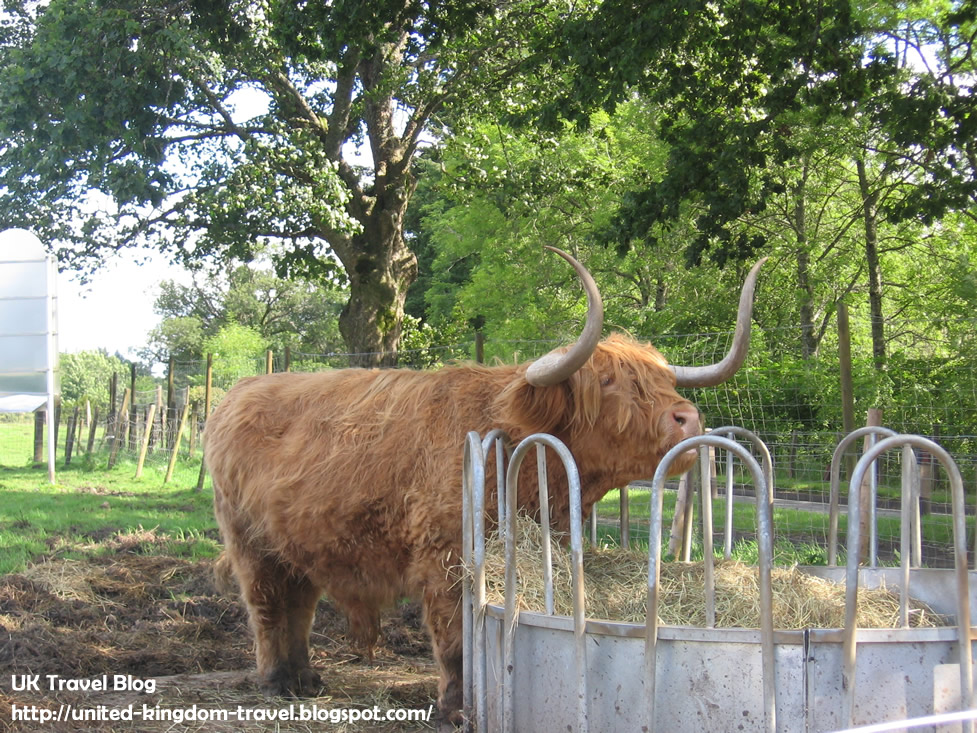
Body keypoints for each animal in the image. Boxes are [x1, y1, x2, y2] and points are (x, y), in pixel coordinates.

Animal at [205, 247, 765, 725]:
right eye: (607, 383)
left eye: (665, 382)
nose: (687, 417)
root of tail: (238, 393)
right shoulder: (445, 557)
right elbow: (455, 637)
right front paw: (455, 708)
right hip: (250, 542)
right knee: (268, 607)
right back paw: (278, 681)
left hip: (296, 544)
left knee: (299, 604)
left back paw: (306, 678)